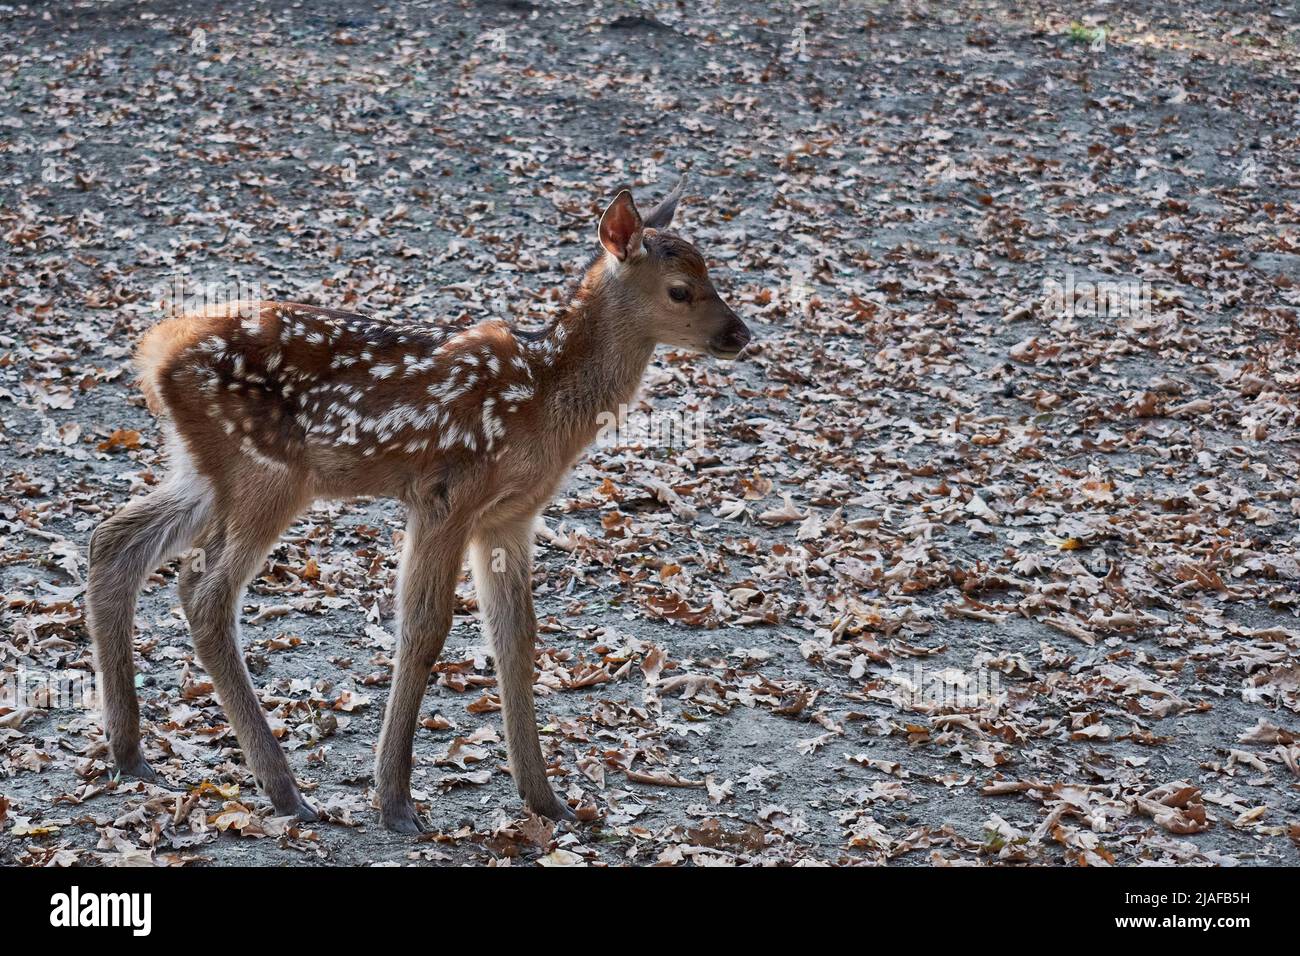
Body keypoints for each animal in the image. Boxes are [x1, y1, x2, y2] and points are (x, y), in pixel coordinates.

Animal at [85, 178, 752, 832]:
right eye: (681, 289)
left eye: (710, 269)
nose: (741, 335)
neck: (546, 394)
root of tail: (155, 351)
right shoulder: (446, 496)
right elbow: (426, 630)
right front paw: (395, 800)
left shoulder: (511, 517)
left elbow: (517, 638)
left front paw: (546, 800)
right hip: (266, 473)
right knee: (203, 591)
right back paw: (283, 789)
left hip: (208, 469)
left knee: (115, 538)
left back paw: (131, 753)